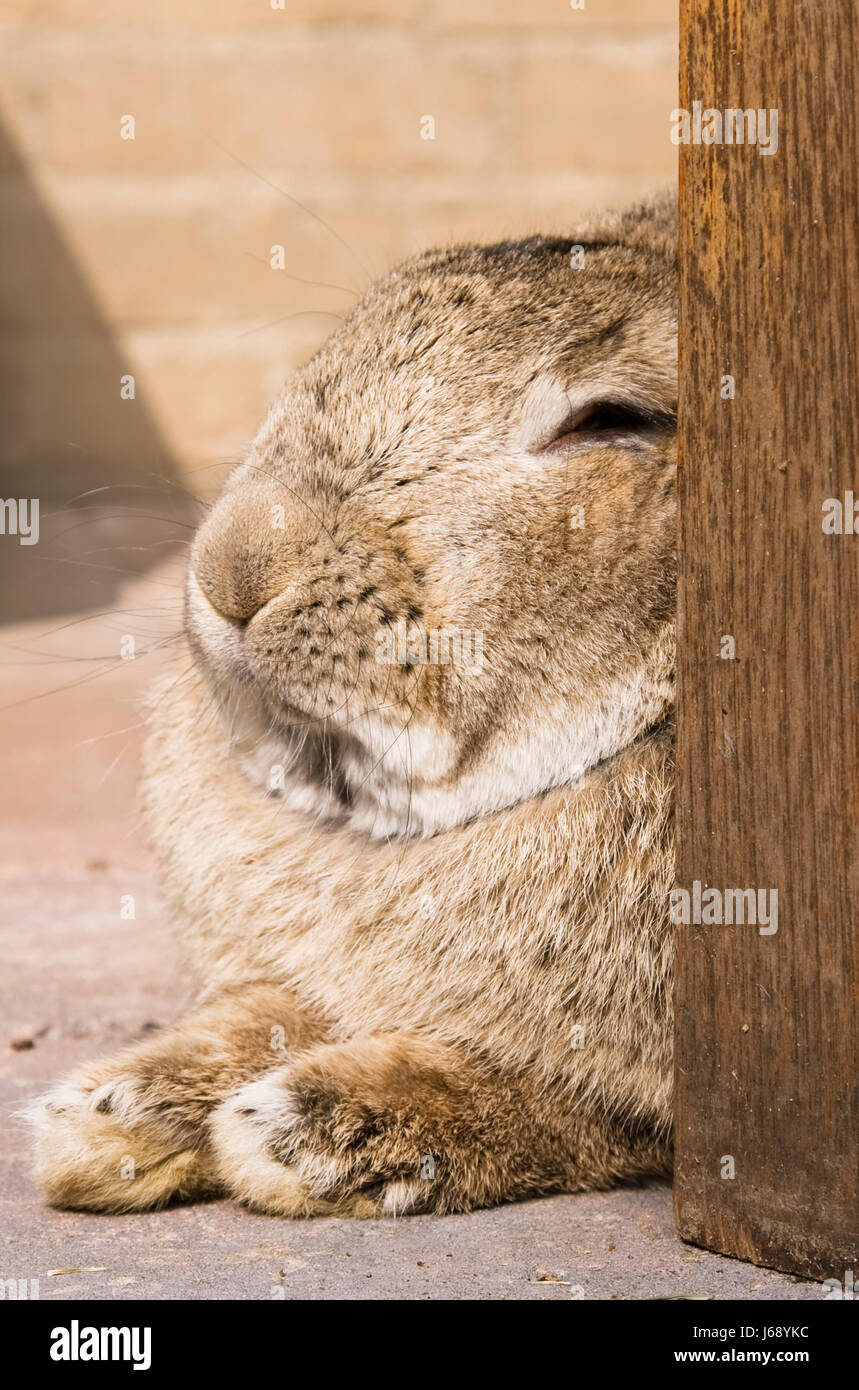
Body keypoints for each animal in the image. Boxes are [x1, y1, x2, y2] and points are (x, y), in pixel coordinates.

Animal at [30, 190, 677, 1218]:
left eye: (614, 419)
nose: (234, 570)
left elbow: (575, 1101)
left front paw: (313, 1129)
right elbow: (270, 1010)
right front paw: (115, 1114)